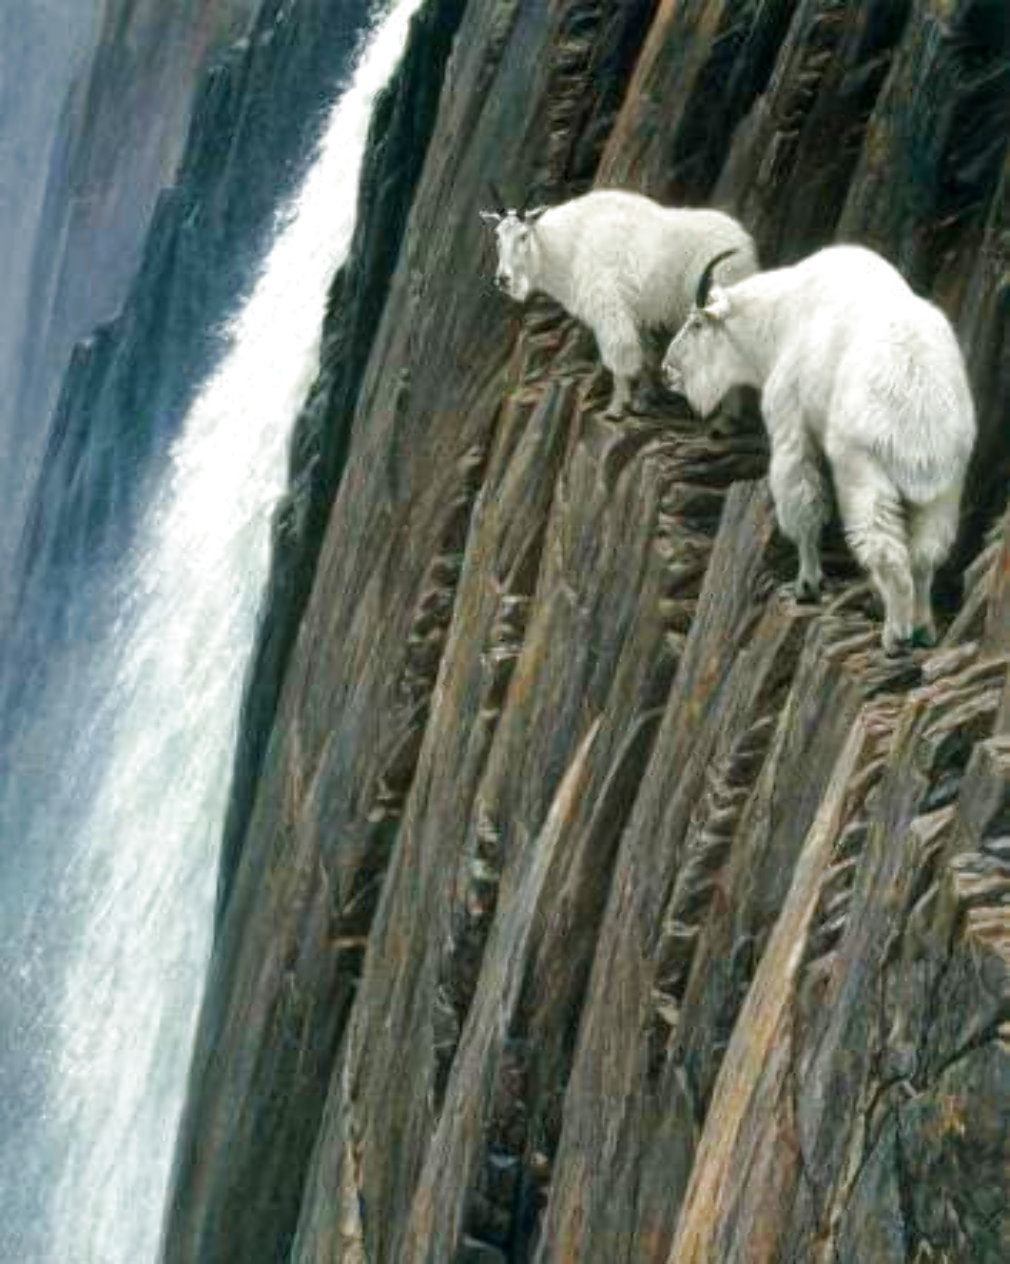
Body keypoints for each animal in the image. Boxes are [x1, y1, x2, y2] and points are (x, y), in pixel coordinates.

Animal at [479, 187, 758, 418]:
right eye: (497, 235)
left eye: (523, 236)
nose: (503, 279)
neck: (571, 245)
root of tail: (746, 245)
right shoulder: (637, 315)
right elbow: (646, 355)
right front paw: (642, 401)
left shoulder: (610, 311)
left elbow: (619, 358)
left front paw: (615, 408)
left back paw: (725, 420)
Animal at [662, 244, 977, 654]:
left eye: (696, 325)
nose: (667, 371)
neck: (781, 317)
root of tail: (918, 406)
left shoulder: (791, 427)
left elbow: (802, 503)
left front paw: (808, 585)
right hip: (945, 483)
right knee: (926, 552)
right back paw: (923, 630)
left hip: (863, 468)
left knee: (886, 550)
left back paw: (895, 636)